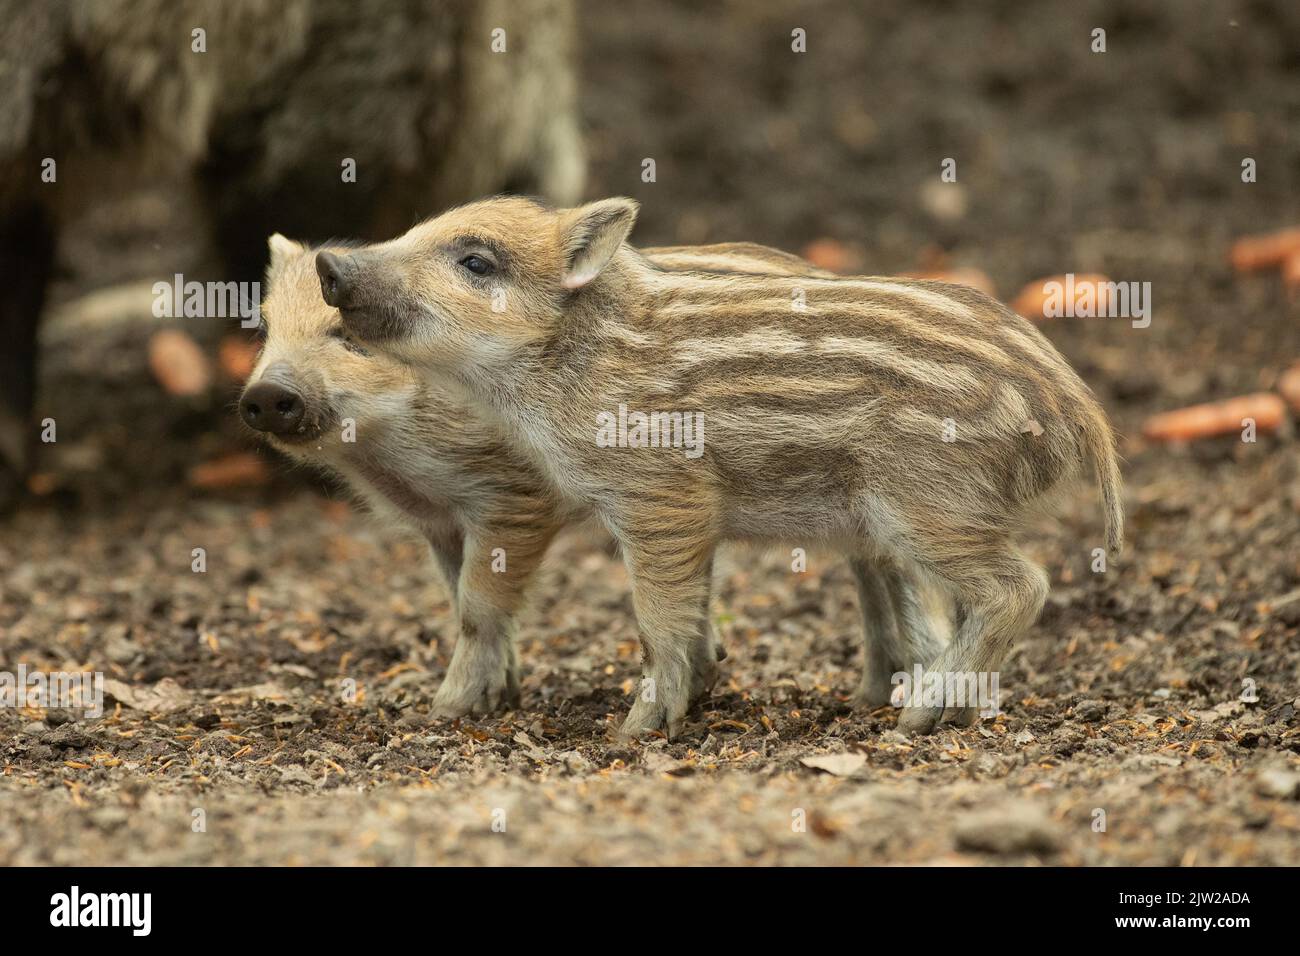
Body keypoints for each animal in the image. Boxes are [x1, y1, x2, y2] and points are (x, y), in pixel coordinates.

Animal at [244, 233, 946, 720]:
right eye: (266, 328)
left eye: (347, 336)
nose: (264, 394)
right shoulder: (441, 523)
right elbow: (460, 601)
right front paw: (501, 694)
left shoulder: (513, 500)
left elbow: (477, 607)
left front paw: (441, 712)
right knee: (869, 568)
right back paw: (864, 694)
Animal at [317, 196, 1124, 738]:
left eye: (477, 262)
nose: (330, 261)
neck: (572, 366)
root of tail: (1076, 406)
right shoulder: (686, 517)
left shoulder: (660, 498)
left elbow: (655, 619)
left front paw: (635, 731)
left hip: (930, 502)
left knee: (1022, 586)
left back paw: (917, 717)